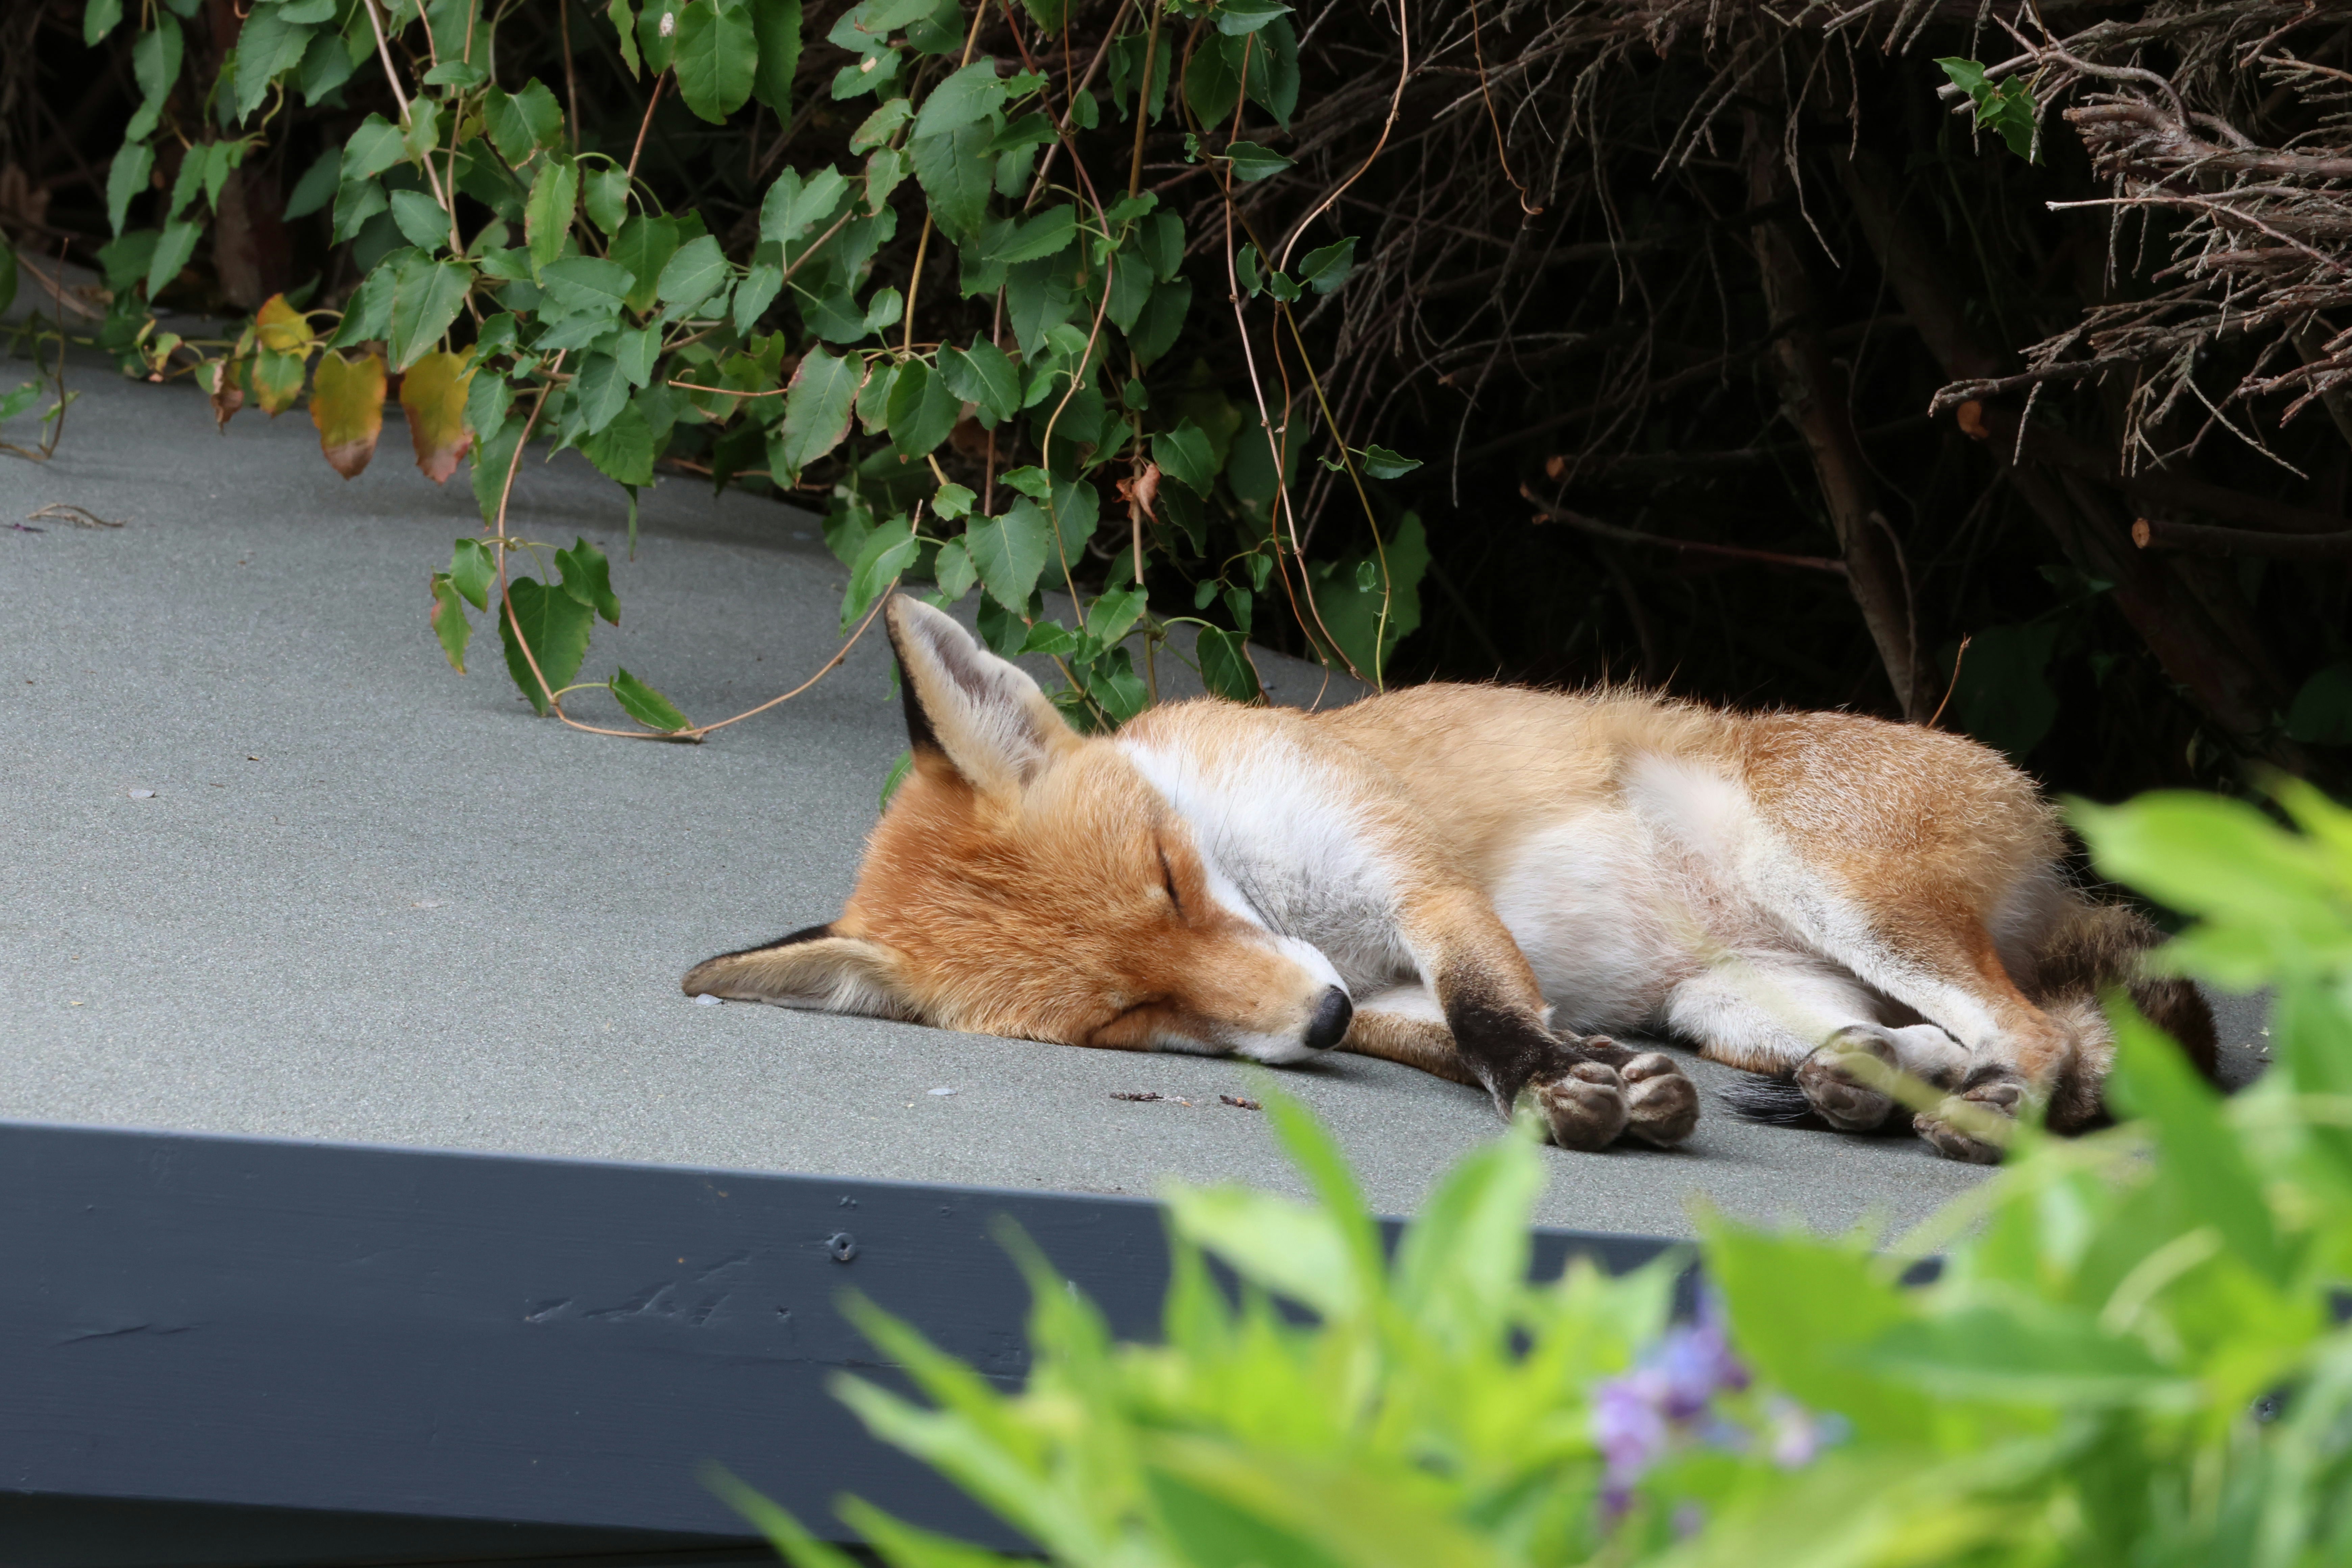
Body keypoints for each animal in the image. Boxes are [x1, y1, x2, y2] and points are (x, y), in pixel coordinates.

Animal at [683, 595, 2217, 1162]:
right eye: (1126, 1016)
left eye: (1173, 882)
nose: (1306, 1024)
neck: (1282, 893)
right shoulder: (1370, 986)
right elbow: (1447, 1035)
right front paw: (1584, 1082)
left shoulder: (1413, 877)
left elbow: (1488, 1005)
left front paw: (1551, 1084)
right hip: (1745, 1000)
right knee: (2026, 1041)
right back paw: (1869, 1090)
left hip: (1845, 898)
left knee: (2045, 1041)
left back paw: (1986, 1113)